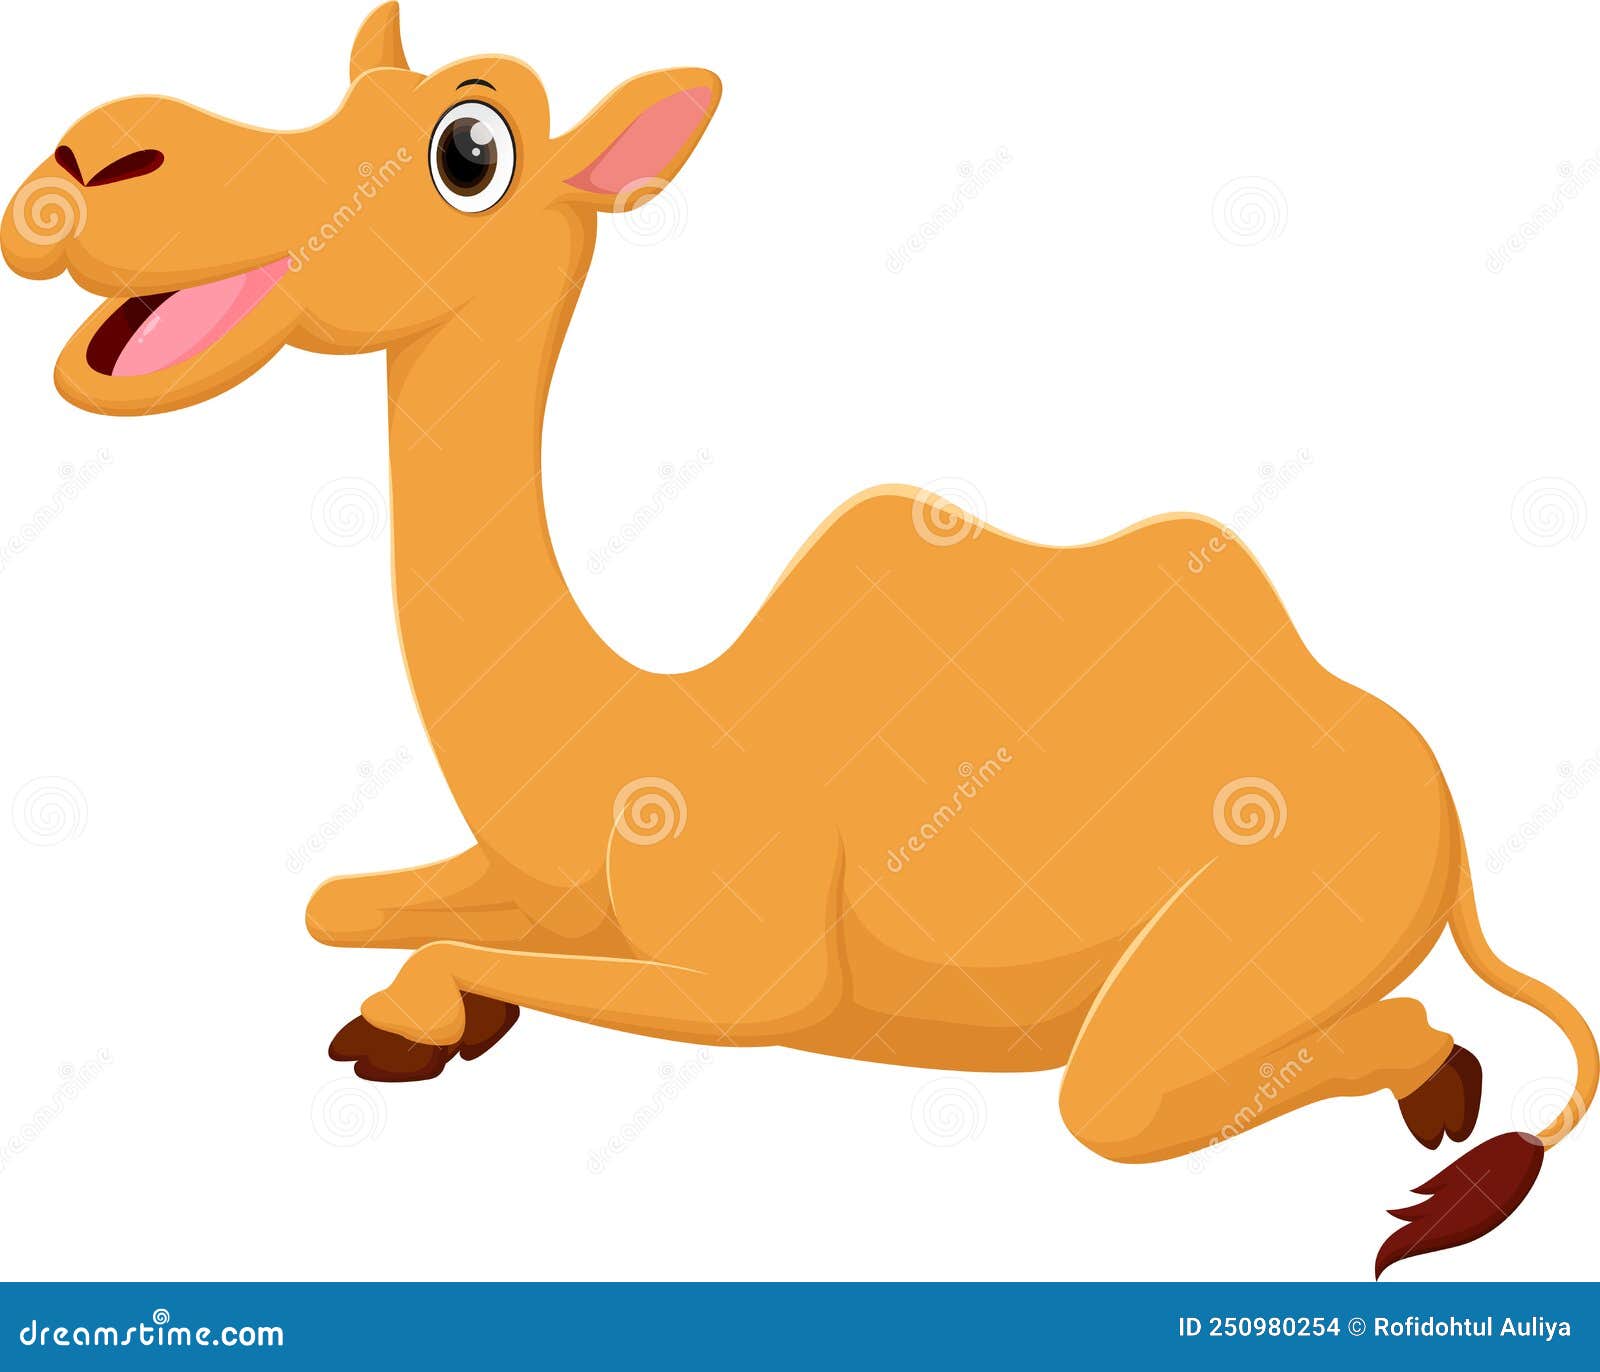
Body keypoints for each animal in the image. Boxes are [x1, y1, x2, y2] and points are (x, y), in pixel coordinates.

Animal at [3, 3, 1593, 1277]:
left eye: (471, 149)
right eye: (339, 97)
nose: (86, 163)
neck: (633, 734)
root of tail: (1450, 819)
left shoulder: (757, 972)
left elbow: (555, 966)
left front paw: (416, 1025)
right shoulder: (557, 875)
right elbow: (346, 903)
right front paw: (412, 1010)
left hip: (1263, 917)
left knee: (1119, 1096)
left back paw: (1440, 1098)